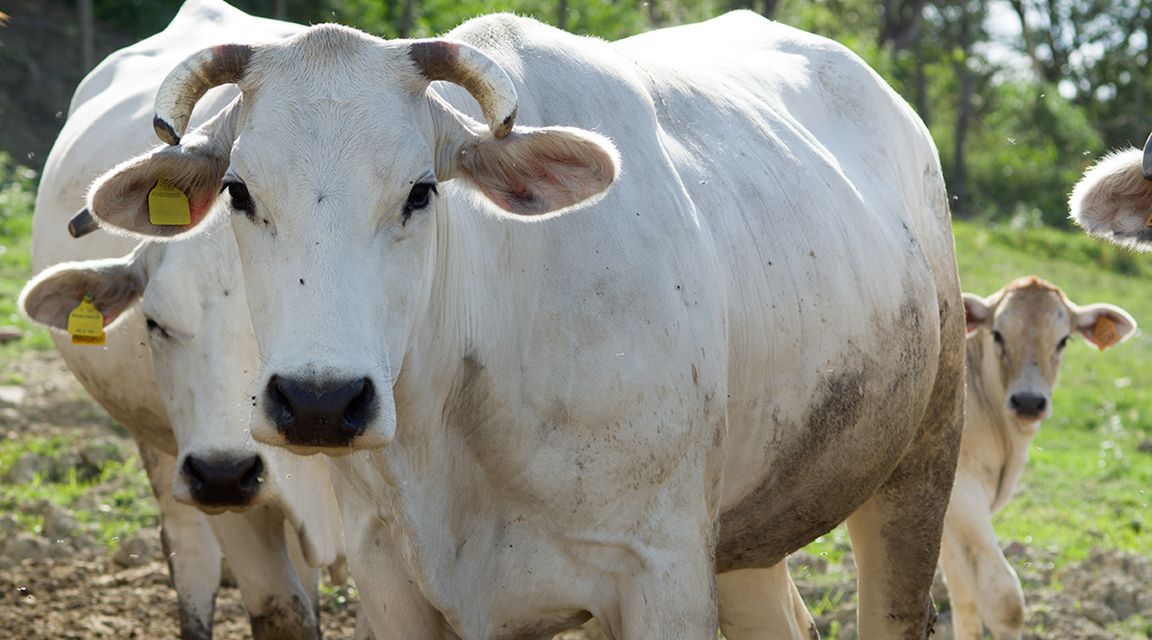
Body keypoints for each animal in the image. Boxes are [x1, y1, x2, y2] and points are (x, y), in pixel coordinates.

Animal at [80, 9, 965, 639]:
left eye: (420, 191)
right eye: (238, 191)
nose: (321, 401)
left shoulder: (661, 574)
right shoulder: (391, 582)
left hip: (919, 468)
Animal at [942, 276, 1135, 640]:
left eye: (1063, 340)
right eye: (998, 334)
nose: (1028, 402)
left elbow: (964, 597)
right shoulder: (962, 493)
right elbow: (1003, 599)